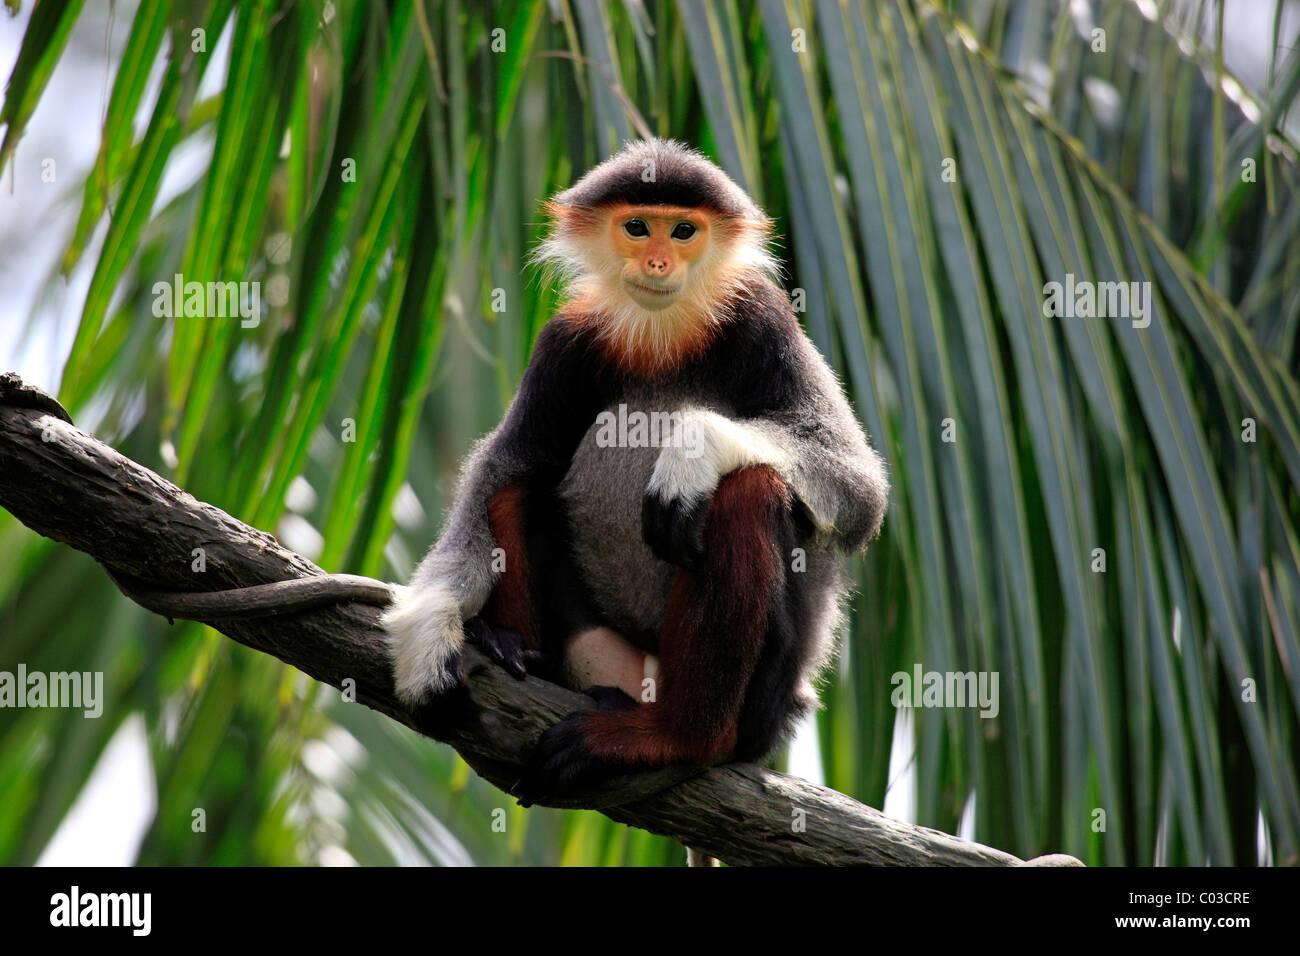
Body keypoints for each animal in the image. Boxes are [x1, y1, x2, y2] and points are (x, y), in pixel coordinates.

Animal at [382, 138, 889, 803]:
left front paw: (693, 451)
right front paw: (430, 625)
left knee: (750, 489)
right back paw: (507, 645)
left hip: (765, 699)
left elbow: (859, 489)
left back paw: (680, 737)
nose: (657, 262)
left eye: (683, 231)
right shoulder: (566, 341)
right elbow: (501, 464)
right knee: (516, 490)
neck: (663, 334)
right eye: (638, 227)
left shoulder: (763, 317)